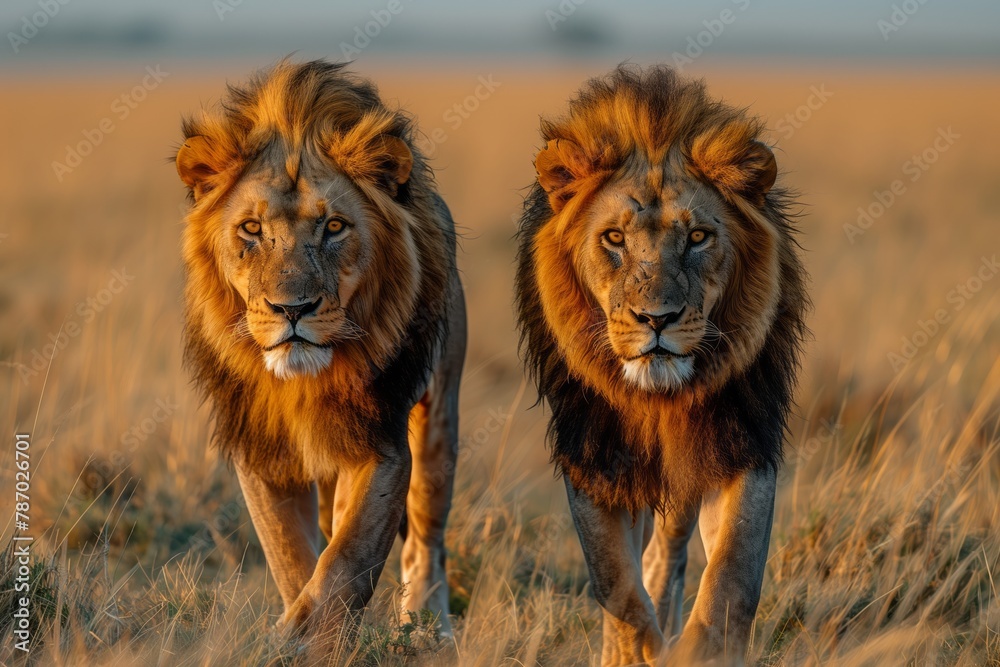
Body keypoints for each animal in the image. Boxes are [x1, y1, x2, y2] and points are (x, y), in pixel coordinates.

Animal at [174, 59, 466, 641]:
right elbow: (292, 557)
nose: (293, 309)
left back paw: (427, 625)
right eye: (251, 229)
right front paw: (293, 632)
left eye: (334, 227)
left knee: (426, 538)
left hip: (439, 420)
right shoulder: (262, 450)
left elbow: (345, 563)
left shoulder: (380, 441)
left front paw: (302, 640)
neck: (304, 383)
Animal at [515, 65, 808, 665]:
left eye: (697, 236)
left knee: (670, 546)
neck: (657, 398)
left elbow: (732, 575)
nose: (657, 319)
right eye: (614, 238)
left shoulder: (740, 437)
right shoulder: (594, 454)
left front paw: (699, 650)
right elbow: (614, 582)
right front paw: (634, 652)